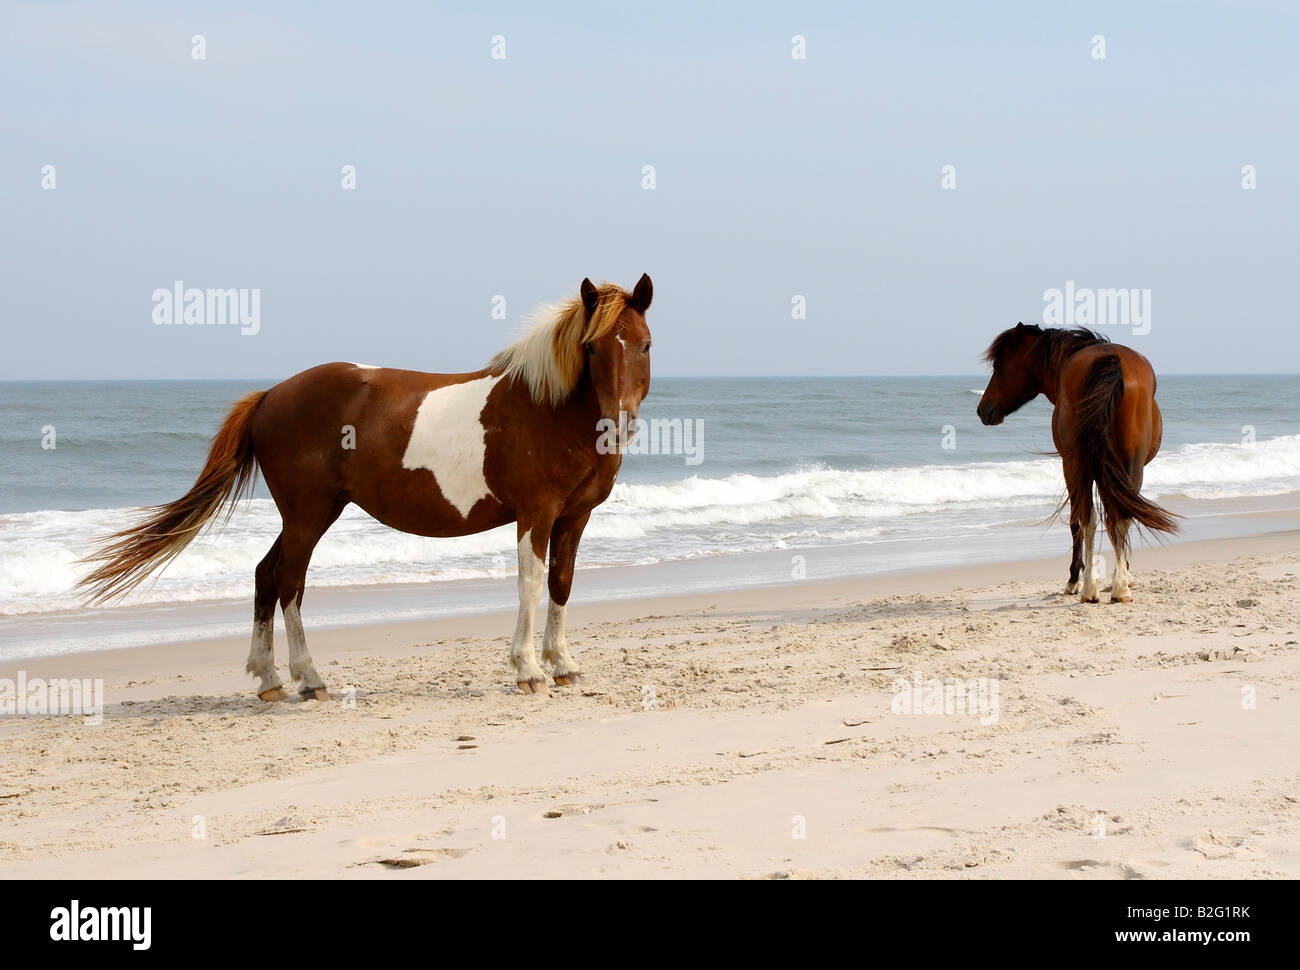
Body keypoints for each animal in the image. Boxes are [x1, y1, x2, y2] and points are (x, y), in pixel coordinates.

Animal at [80, 274, 654, 698]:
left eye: (644, 345)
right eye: (593, 349)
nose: (619, 423)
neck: (547, 409)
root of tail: (271, 396)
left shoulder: (574, 516)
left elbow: (561, 582)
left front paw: (563, 665)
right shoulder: (536, 512)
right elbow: (531, 583)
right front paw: (530, 670)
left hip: (312, 513)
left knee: (266, 576)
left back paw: (269, 680)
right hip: (308, 515)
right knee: (288, 583)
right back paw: (310, 679)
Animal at [976, 323, 1178, 603]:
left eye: (999, 365)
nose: (982, 410)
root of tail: (1110, 361)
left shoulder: (1071, 465)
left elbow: (1078, 521)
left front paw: (1076, 579)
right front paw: (1120, 575)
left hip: (1078, 466)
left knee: (1089, 517)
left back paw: (1090, 587)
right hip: (1128, 464)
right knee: (1118, 517)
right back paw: (1116, 589)